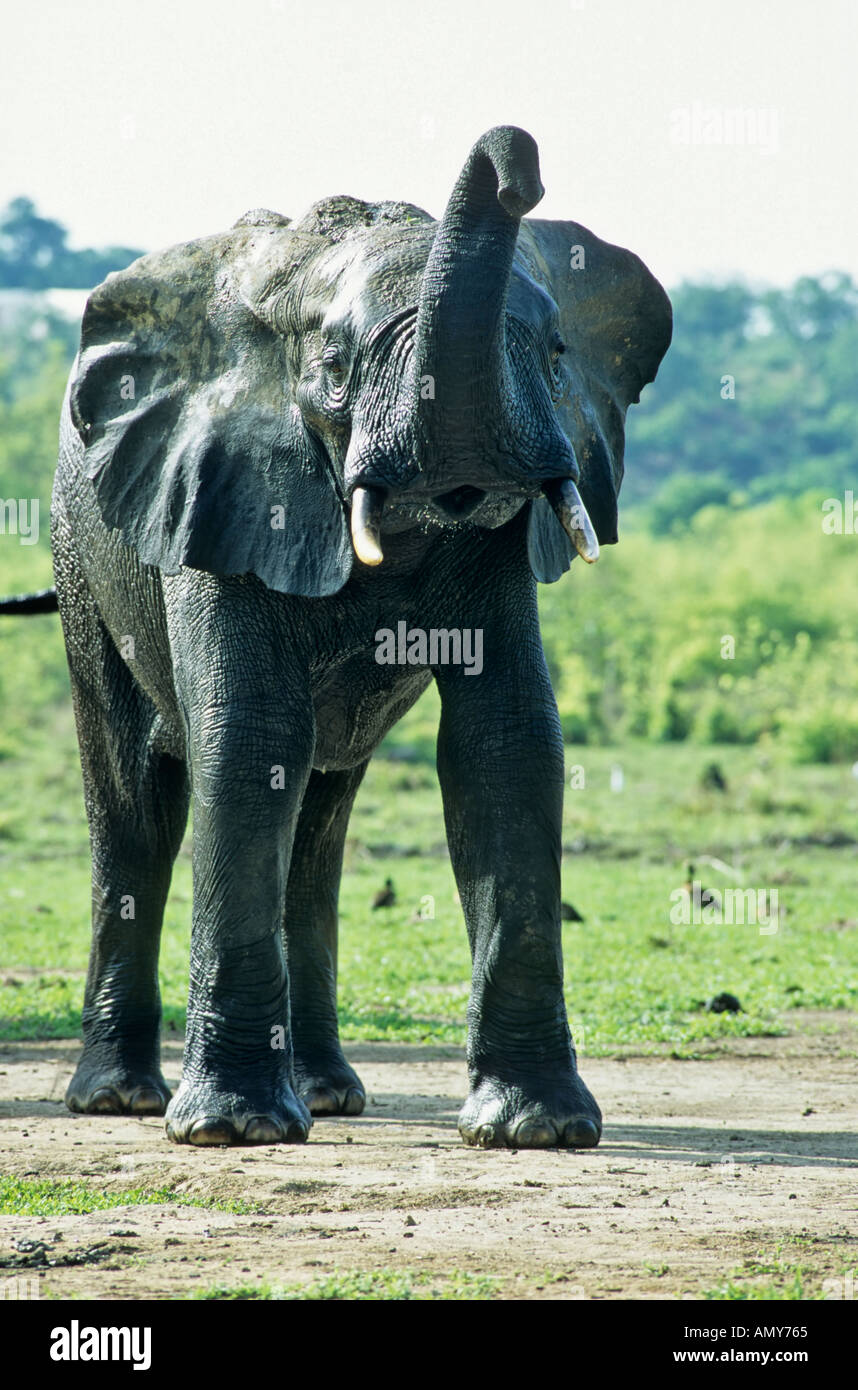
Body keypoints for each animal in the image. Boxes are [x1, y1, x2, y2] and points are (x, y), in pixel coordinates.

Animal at [28, 125, 670, 1148]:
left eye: (555, 351)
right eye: (334, 367)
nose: (517, 162)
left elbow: (506, 741)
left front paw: (536, 1128)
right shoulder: (217, 487)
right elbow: (248, 738)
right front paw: (233, 1131)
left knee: (318, 818)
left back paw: (327, 1095)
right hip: (80, 557)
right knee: (134, 801)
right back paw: (120, 1099)